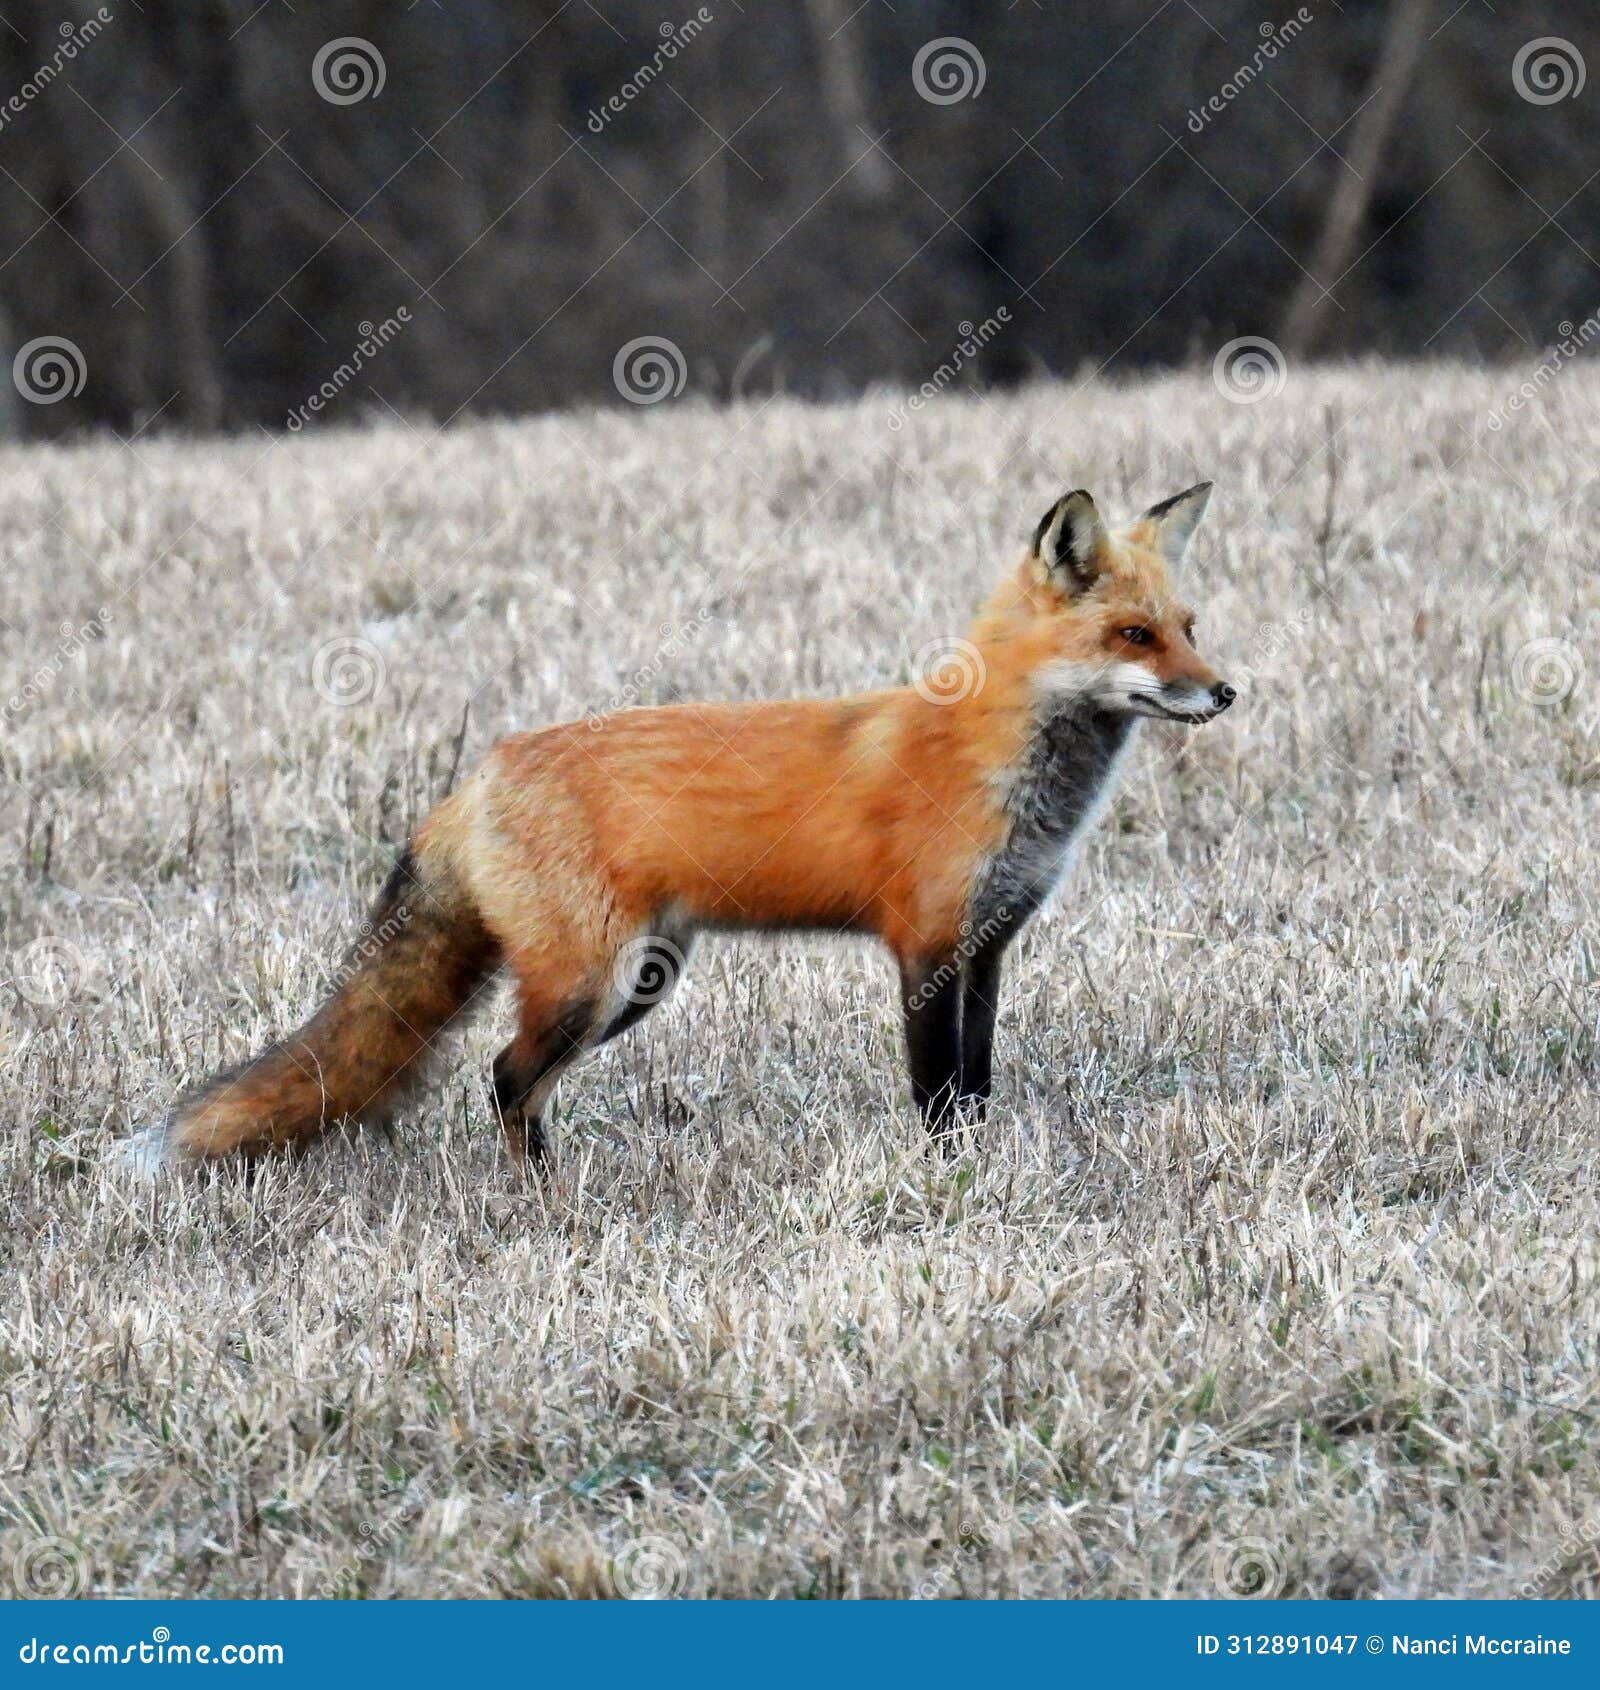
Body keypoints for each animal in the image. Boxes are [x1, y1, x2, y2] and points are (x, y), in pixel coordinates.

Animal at [116, 483, 1234, 1176]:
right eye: (1134, 636)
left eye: (1189, 627)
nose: (1224, 693)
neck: (997, 762)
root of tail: (473, 780)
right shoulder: (921, 948)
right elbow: (934, 1092)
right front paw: (946, 1182)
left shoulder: (987, 947)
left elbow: (980, 1085)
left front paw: (984, 1166)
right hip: (588, 984)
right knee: (503, 1075)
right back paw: (544, 1200)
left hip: (639, 982)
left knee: (515, 1082)